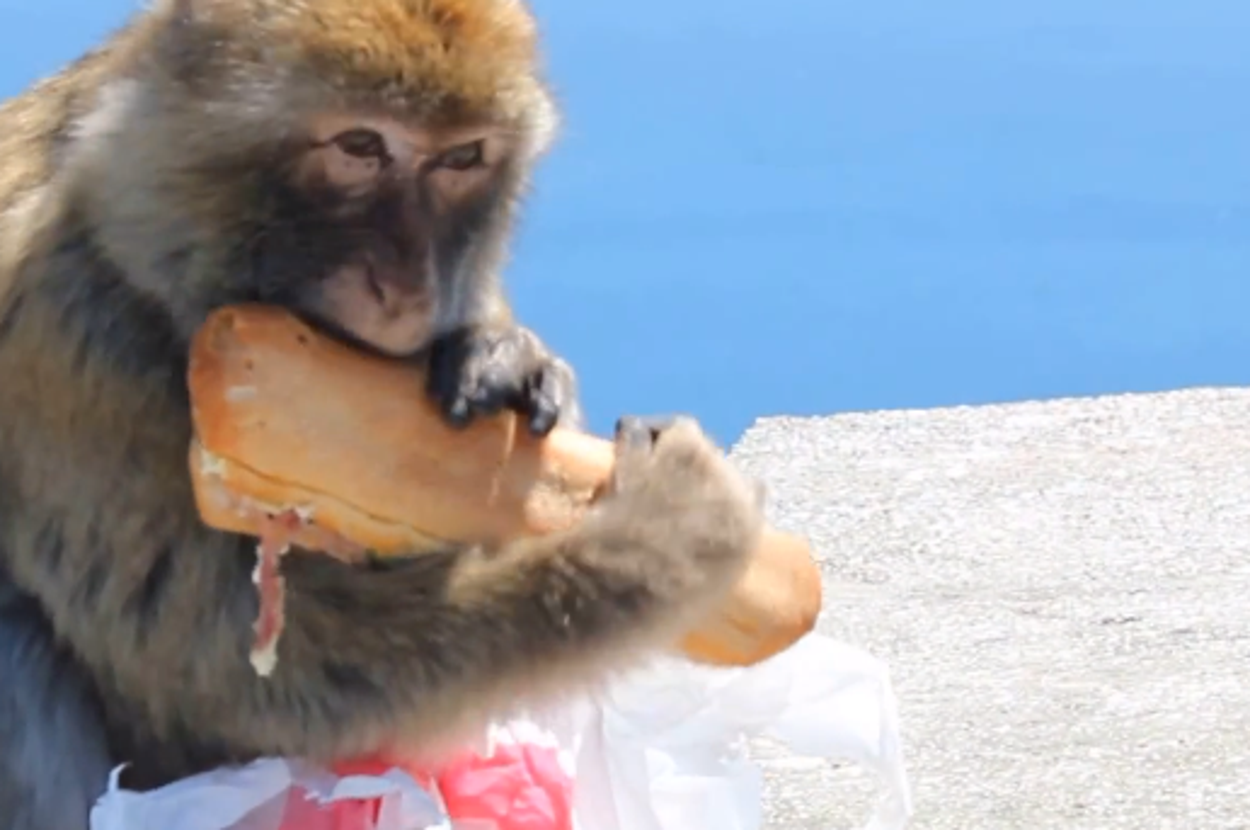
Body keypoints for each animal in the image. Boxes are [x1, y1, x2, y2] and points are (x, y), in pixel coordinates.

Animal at [0, 1, 765, 828]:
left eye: (462, 157)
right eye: (360, 146)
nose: (407, 286)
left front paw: (502, 354)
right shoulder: (74, 353)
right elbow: (248, 680)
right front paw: (670, 529)